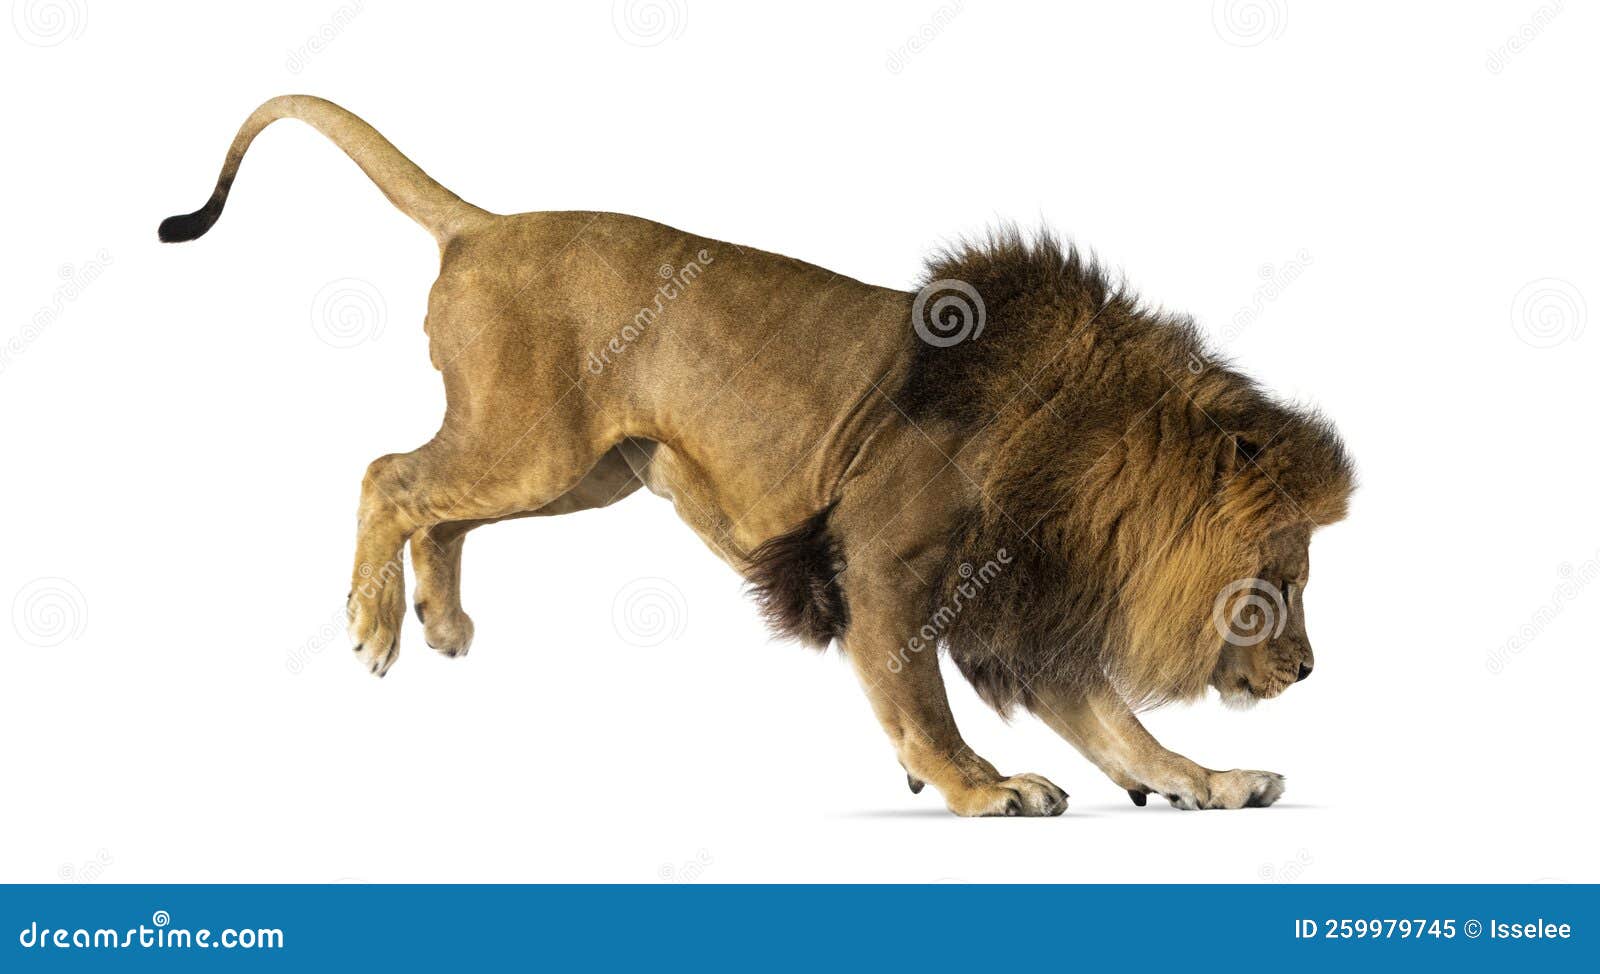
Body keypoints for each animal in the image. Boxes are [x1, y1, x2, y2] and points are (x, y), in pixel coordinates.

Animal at [161, 96, 1354, 816]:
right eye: (1280, 577)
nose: (1307, 670)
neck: (1087, 464)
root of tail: (485, 226)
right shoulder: (886, 565)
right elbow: (921, 701)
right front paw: (982, 789)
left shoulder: (1024, 607)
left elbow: (1118, 725)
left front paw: (1208, 779)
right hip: (533, 447)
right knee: (389, 475)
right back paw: (374, 624)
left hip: (580, 473)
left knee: (437, 507)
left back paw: (442, 620)